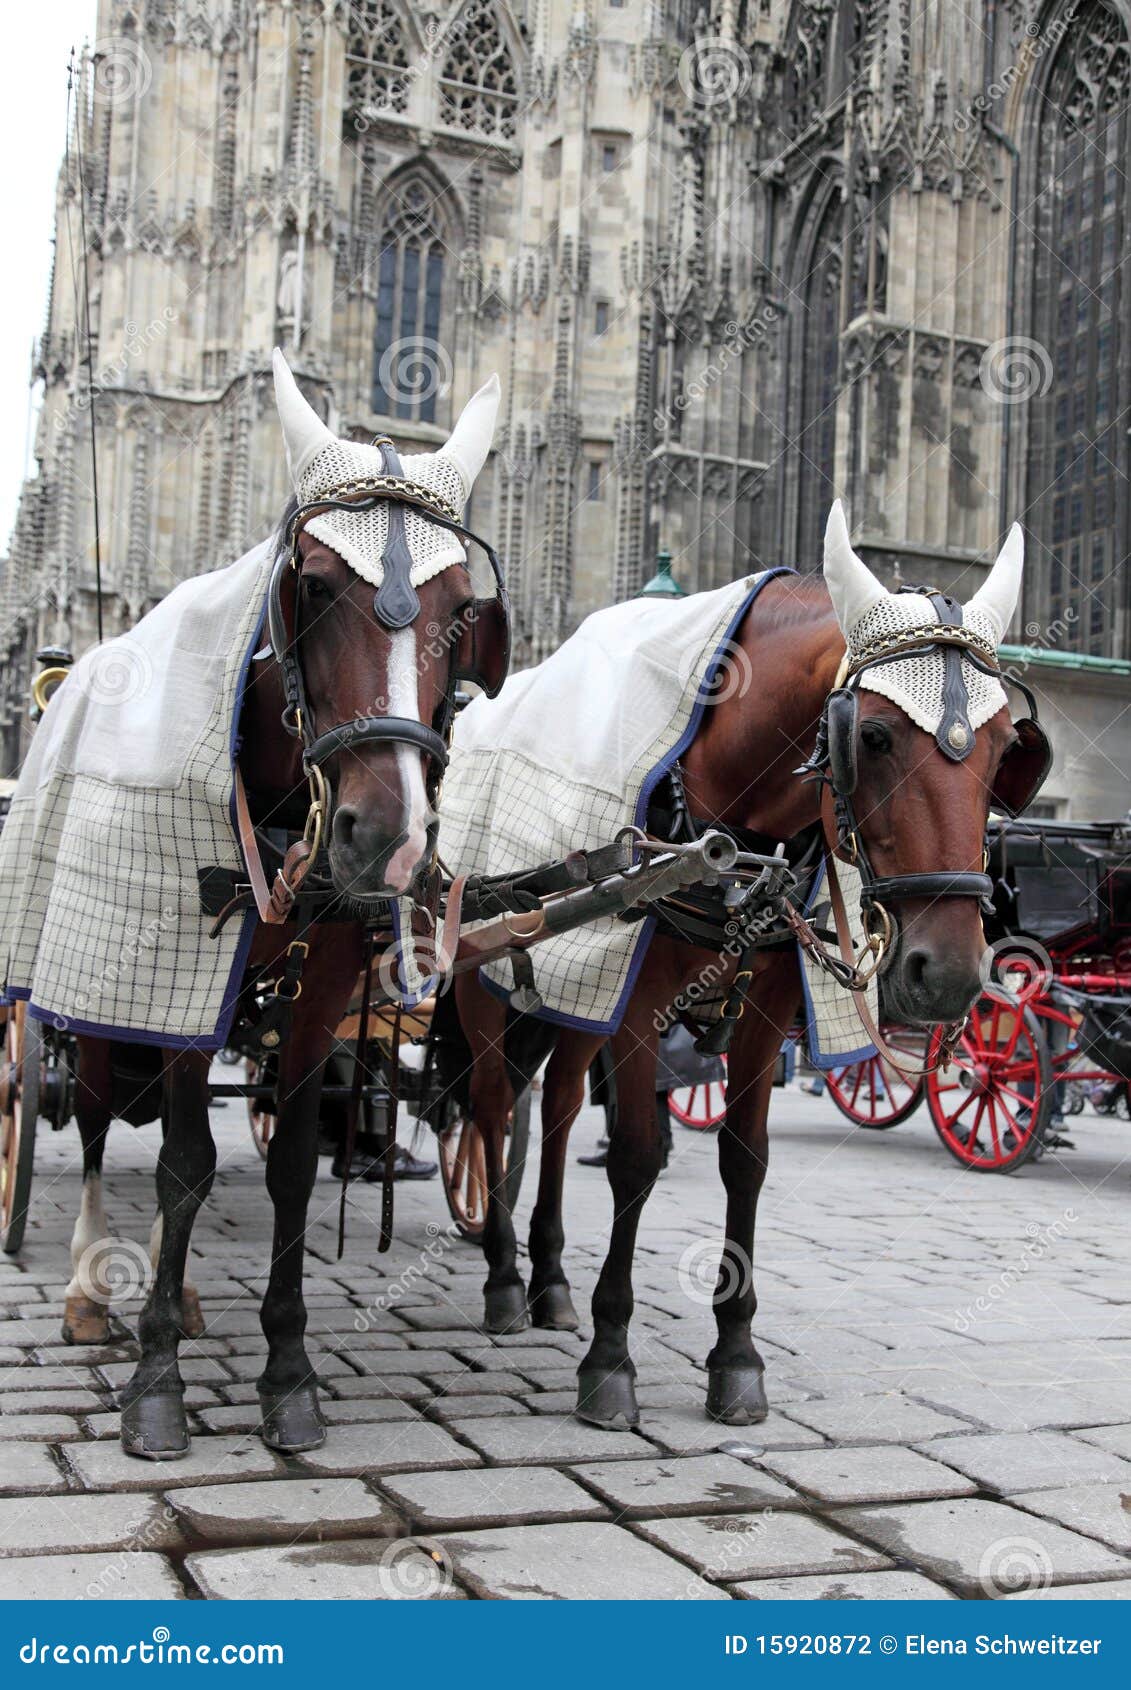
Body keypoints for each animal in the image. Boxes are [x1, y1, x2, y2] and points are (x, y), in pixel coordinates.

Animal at [23, 350, 507, 1459]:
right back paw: (90, 1284)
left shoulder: (318, 984)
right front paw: (155, 1378)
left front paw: (288, 1372)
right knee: (100, 1111)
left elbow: (287, 1164)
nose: (386, 833)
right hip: (98, 978)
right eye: (314, 585)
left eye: (464, 610)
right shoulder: (172, 964)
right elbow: (182, 1160)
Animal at [450, 503, 1051, 1429]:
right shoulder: (638, 1004)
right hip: (485, 973)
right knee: (489, 1104)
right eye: (872, 735)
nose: (946, 974)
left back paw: (549, 1277)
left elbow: (745, 1160)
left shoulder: (763, 1011)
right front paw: (611, 1357)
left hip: (578, 989)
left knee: (553, 1110)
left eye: (1000, 752)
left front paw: (735, 1356)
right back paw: (505, 1277)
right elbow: (635, 1154)